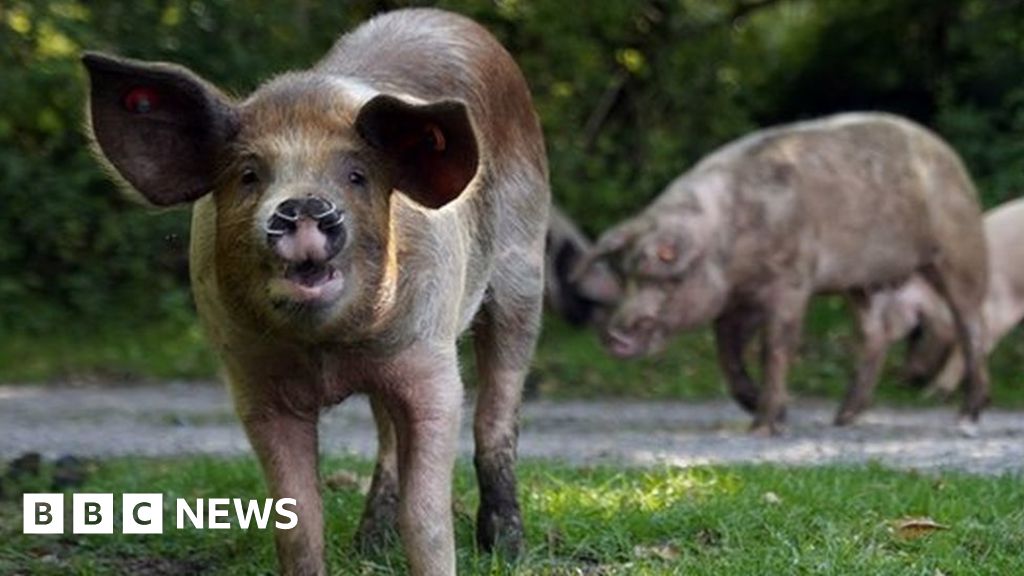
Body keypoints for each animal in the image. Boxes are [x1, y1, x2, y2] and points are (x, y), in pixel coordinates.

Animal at [82, 9, 549, 575]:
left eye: (357, 175)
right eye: (249, 175)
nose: (303, 204)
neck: (326, 351)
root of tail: (450, 19)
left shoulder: (429, 360)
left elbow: (427, 517)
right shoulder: (254, 382)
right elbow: (299, 521)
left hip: (524, 268)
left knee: (498, 414)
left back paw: (506, 548)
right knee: (388, 440)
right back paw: (370, 545)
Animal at [574, 112, 990, 435]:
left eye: (666, 278)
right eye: (626, 276)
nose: (615, 334)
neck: (726, 239)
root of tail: (950, 156)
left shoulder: (791, 280)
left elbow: (775, 346)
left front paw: (765, 427)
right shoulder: (735, 300)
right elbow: (728, 353)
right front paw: (764, 410)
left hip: (960, 247)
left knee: (971, 325)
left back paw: (967, 417)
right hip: (861, 281)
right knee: (876, 333)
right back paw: (842, 419)